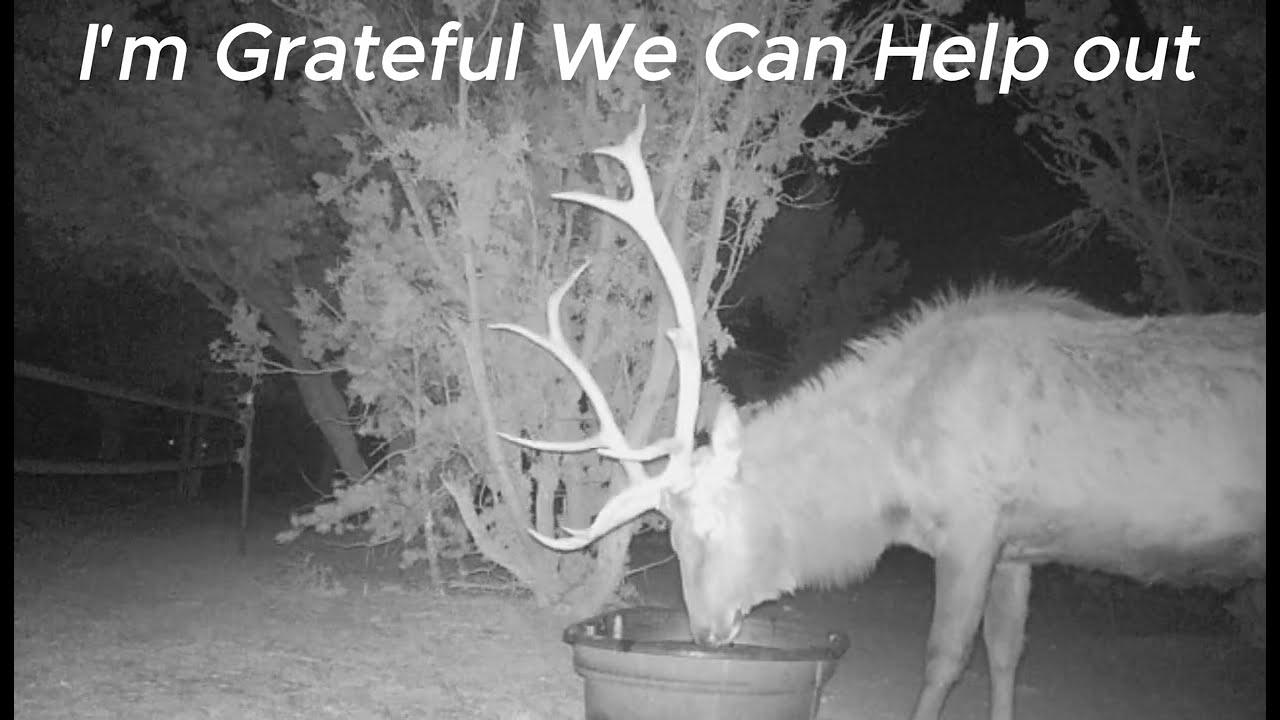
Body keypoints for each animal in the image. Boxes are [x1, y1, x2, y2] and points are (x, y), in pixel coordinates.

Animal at [491, 109, 1267, 720]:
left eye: (704, 530)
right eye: (673, 539)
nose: (706, 635)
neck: (893, 477)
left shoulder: (974, 523)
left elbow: (947, 657)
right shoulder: (1019, 545)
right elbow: (1008, 653)